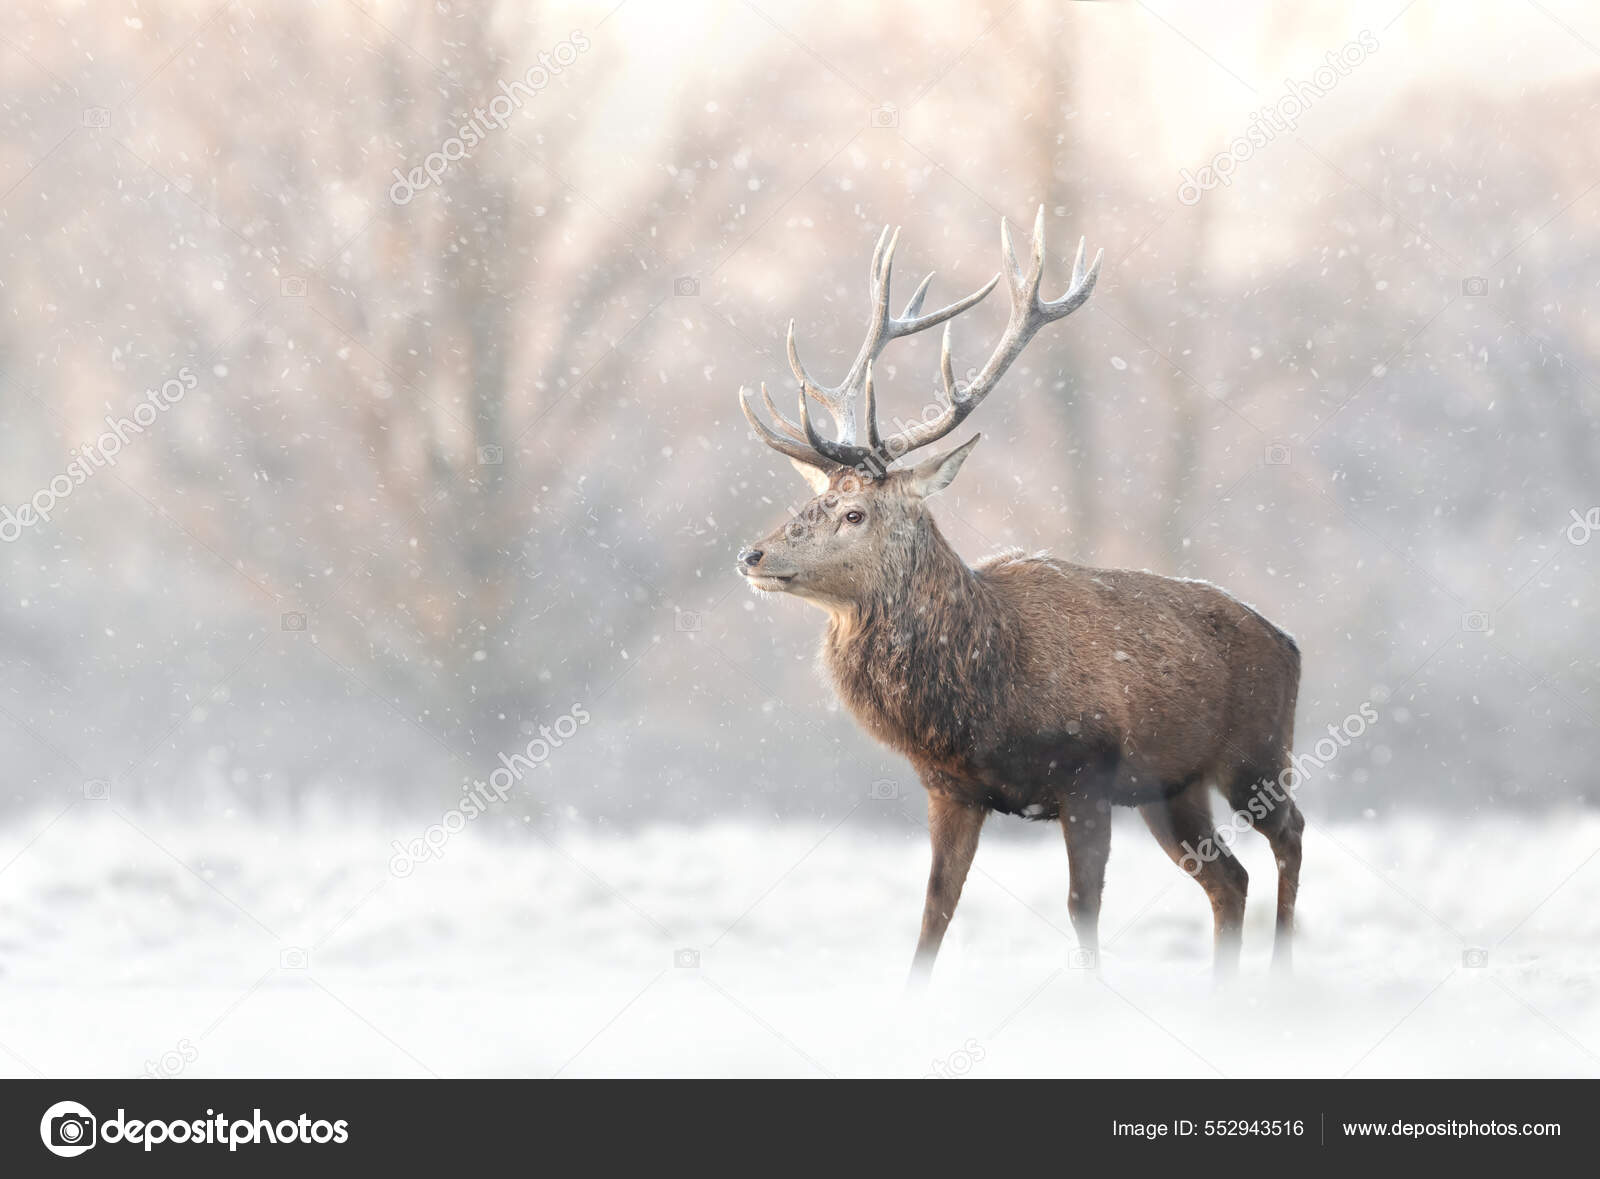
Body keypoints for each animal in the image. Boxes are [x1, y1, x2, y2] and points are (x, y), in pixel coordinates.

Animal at [735, 209, 1303, 984]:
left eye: (854, 513)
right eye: (811, 498)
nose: (753, 554)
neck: (986, 696)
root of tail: (1290, 643)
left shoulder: (1088, 775)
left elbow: (1082, 907)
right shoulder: (951, 789)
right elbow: (933, 914)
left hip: (1257, 753)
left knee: (1290, 834)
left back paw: (1282, 973)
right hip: (1174, 788)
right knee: (1230, 880)